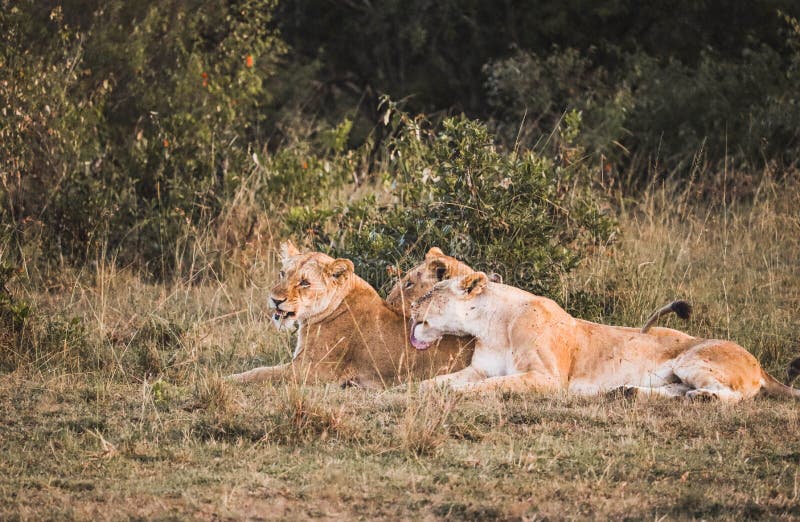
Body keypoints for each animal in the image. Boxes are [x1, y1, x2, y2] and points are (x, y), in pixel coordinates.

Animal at [227, 243, 477, 387]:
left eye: (304, 282)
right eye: (282, 274)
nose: (275, 299)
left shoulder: (310, 372)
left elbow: (260, 373)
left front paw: (226, 379)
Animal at [409, 272, 800, 402]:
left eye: (430, 293)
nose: (411, 305)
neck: (492, 326)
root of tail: (760, 364)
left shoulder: (549, 378)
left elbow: (492, 385)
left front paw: (457, 394)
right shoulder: (479, 368)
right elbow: (439, 381)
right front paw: (408, 391)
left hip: (692, 358)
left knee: (735, 397)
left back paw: (705, 398)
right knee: (674, 391)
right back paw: (627, 392)